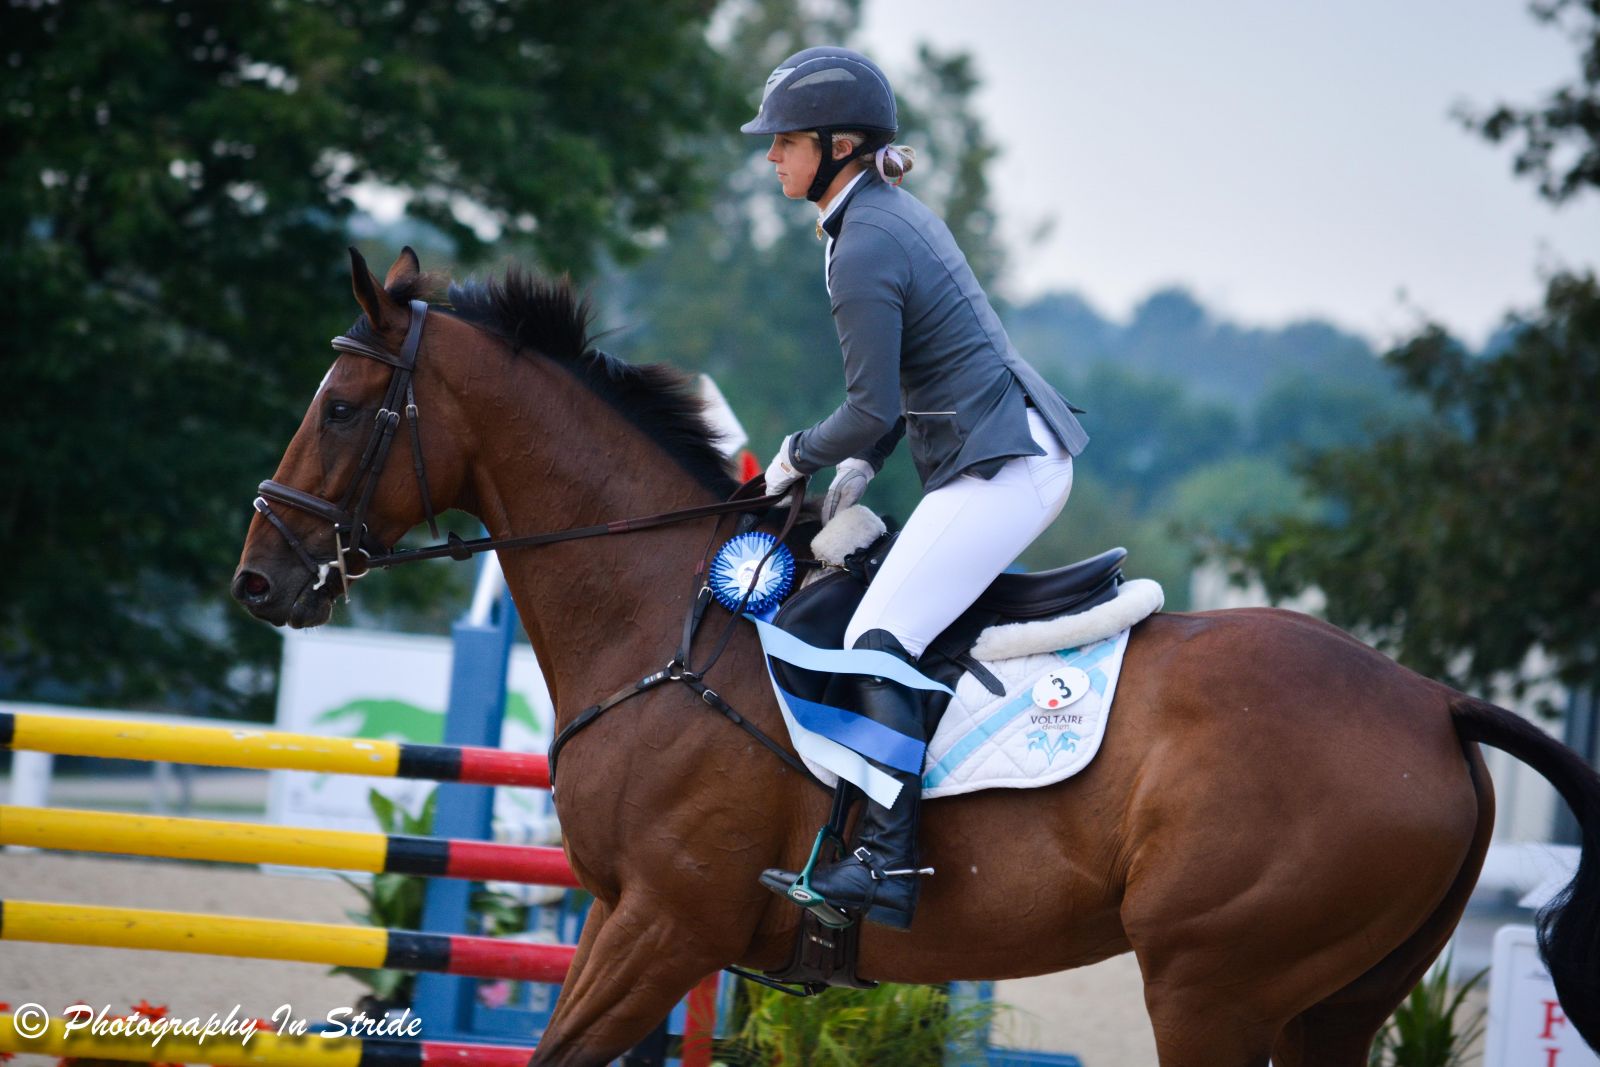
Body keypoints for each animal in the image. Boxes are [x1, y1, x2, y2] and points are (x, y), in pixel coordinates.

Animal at [232, 247, 1600, 1067]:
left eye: (341, 408)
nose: (260, 578)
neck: (663, 614)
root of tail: (1433, 703)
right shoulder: (625, 914)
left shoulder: (668, 920)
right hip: (1335, 999)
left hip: (1211, 980)